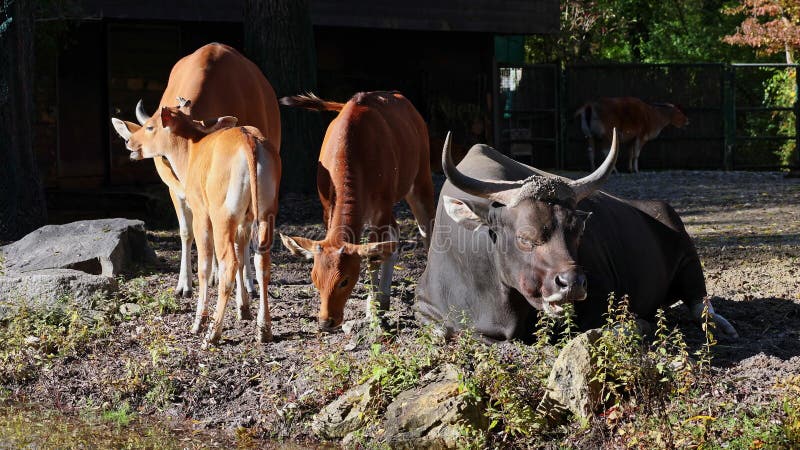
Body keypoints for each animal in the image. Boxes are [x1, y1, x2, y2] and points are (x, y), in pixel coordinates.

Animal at [110, 43, 280, 299]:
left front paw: (245, 282)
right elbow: (185, 232)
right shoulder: (175, 190)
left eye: (151, 127)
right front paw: (184, 284)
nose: (130, 143)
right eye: (163, 160)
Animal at [113, 103, 280, 346]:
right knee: (262, 263)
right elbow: (243, 260)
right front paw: (244, 309)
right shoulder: (245, 222)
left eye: (150, 126)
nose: (130, 142)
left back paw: (212, 333)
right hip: (265, 214)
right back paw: (264, 329)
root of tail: (249, 141)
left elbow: (204, 266)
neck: (192, 151)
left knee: (228, 263)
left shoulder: (201, 213)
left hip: (222, 218)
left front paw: (199, 321)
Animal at [279, 92, 435, 332]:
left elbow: (373, 257)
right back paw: (384, 299)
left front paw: (372, 312)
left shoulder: (381, 210)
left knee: (427, 228)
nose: (326, 322)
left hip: (421, 181)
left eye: (344, 280)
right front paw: (376, 304)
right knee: (396, 235)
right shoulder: (328, 209)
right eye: (315, 279)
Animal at [415, 130, 737, 343]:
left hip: (688, 257)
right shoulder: (423, 304)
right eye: (525, 237)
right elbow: (443, 330)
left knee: (699, 303)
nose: (573, 283)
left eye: (578, 231)